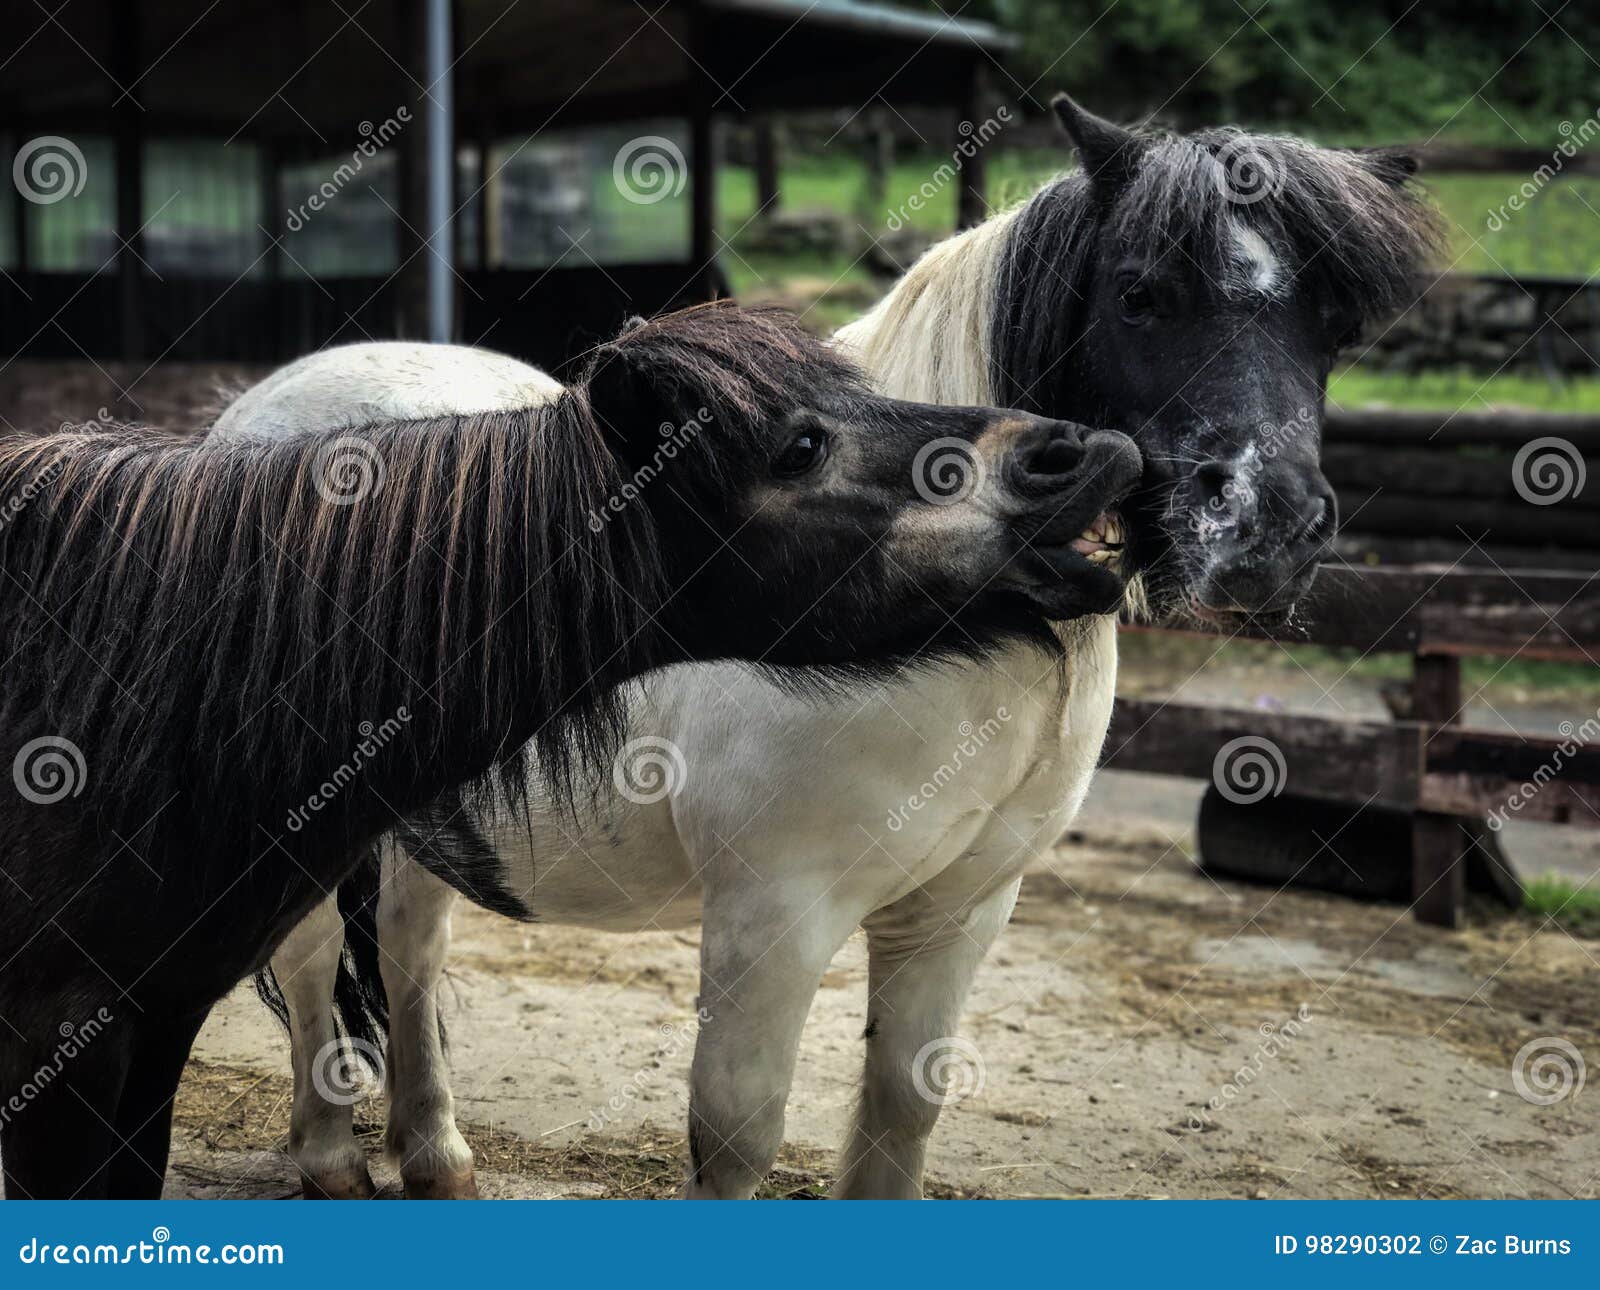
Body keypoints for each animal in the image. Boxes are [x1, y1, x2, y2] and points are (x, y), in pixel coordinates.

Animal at [255, 96, 1443, 1199]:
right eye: (1144, 292)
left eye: (1334, 324)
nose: (1265, 528)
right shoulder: (775, 917)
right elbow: (736, 1136)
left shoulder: (959, 912)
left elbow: (901, 1110)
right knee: (313, 963)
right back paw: (330, 1158)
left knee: (407, 948)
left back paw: (437, 1160)